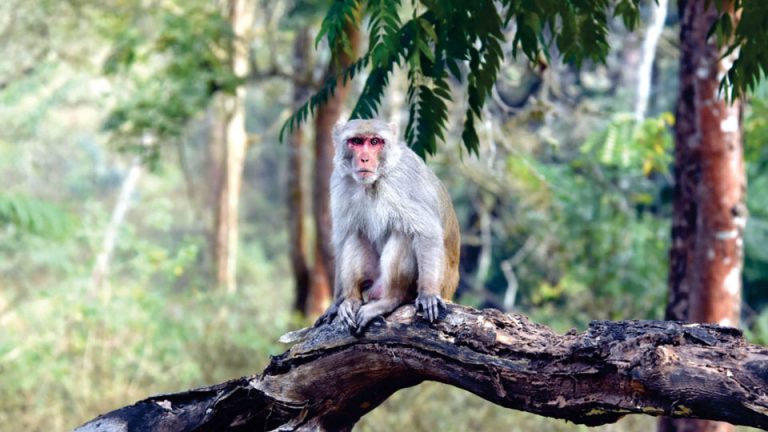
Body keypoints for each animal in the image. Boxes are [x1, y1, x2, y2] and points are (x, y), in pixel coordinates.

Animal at [327, 118, 460, 332]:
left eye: (375, 142)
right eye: (356, 141)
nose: (364, 159)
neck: (374, 181)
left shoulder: (406, 179)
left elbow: (427, 232)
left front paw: (428, 294)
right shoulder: (340, 180)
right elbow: (343, 237)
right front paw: (336, 302)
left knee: (404, 233)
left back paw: (391, 300)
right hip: (374, 281)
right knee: (354, 235)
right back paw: (352, 300)